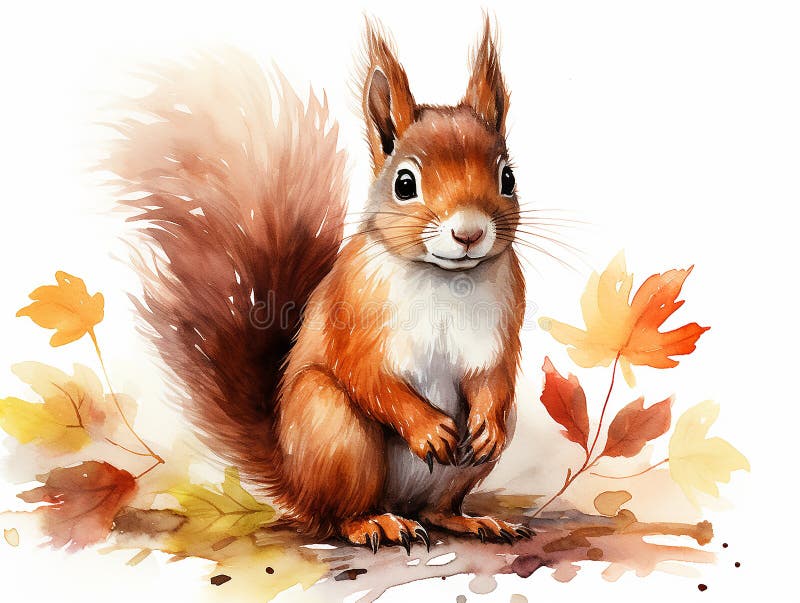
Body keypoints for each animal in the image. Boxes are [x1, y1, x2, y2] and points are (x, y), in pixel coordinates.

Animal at [108, 18, 530, 552]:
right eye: (405, 184)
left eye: (508, 178)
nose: (469, 233)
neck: (447, 280)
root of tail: (294, 482)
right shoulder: (353, 314)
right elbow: (366, 375)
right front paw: (427, 427)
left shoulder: (499, 328)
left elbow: (493, 378)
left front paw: (486, 426)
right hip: (333, 427)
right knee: (337, 516)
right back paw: (374, 523)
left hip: (450, 473)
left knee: (434, 509)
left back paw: (470, 520)